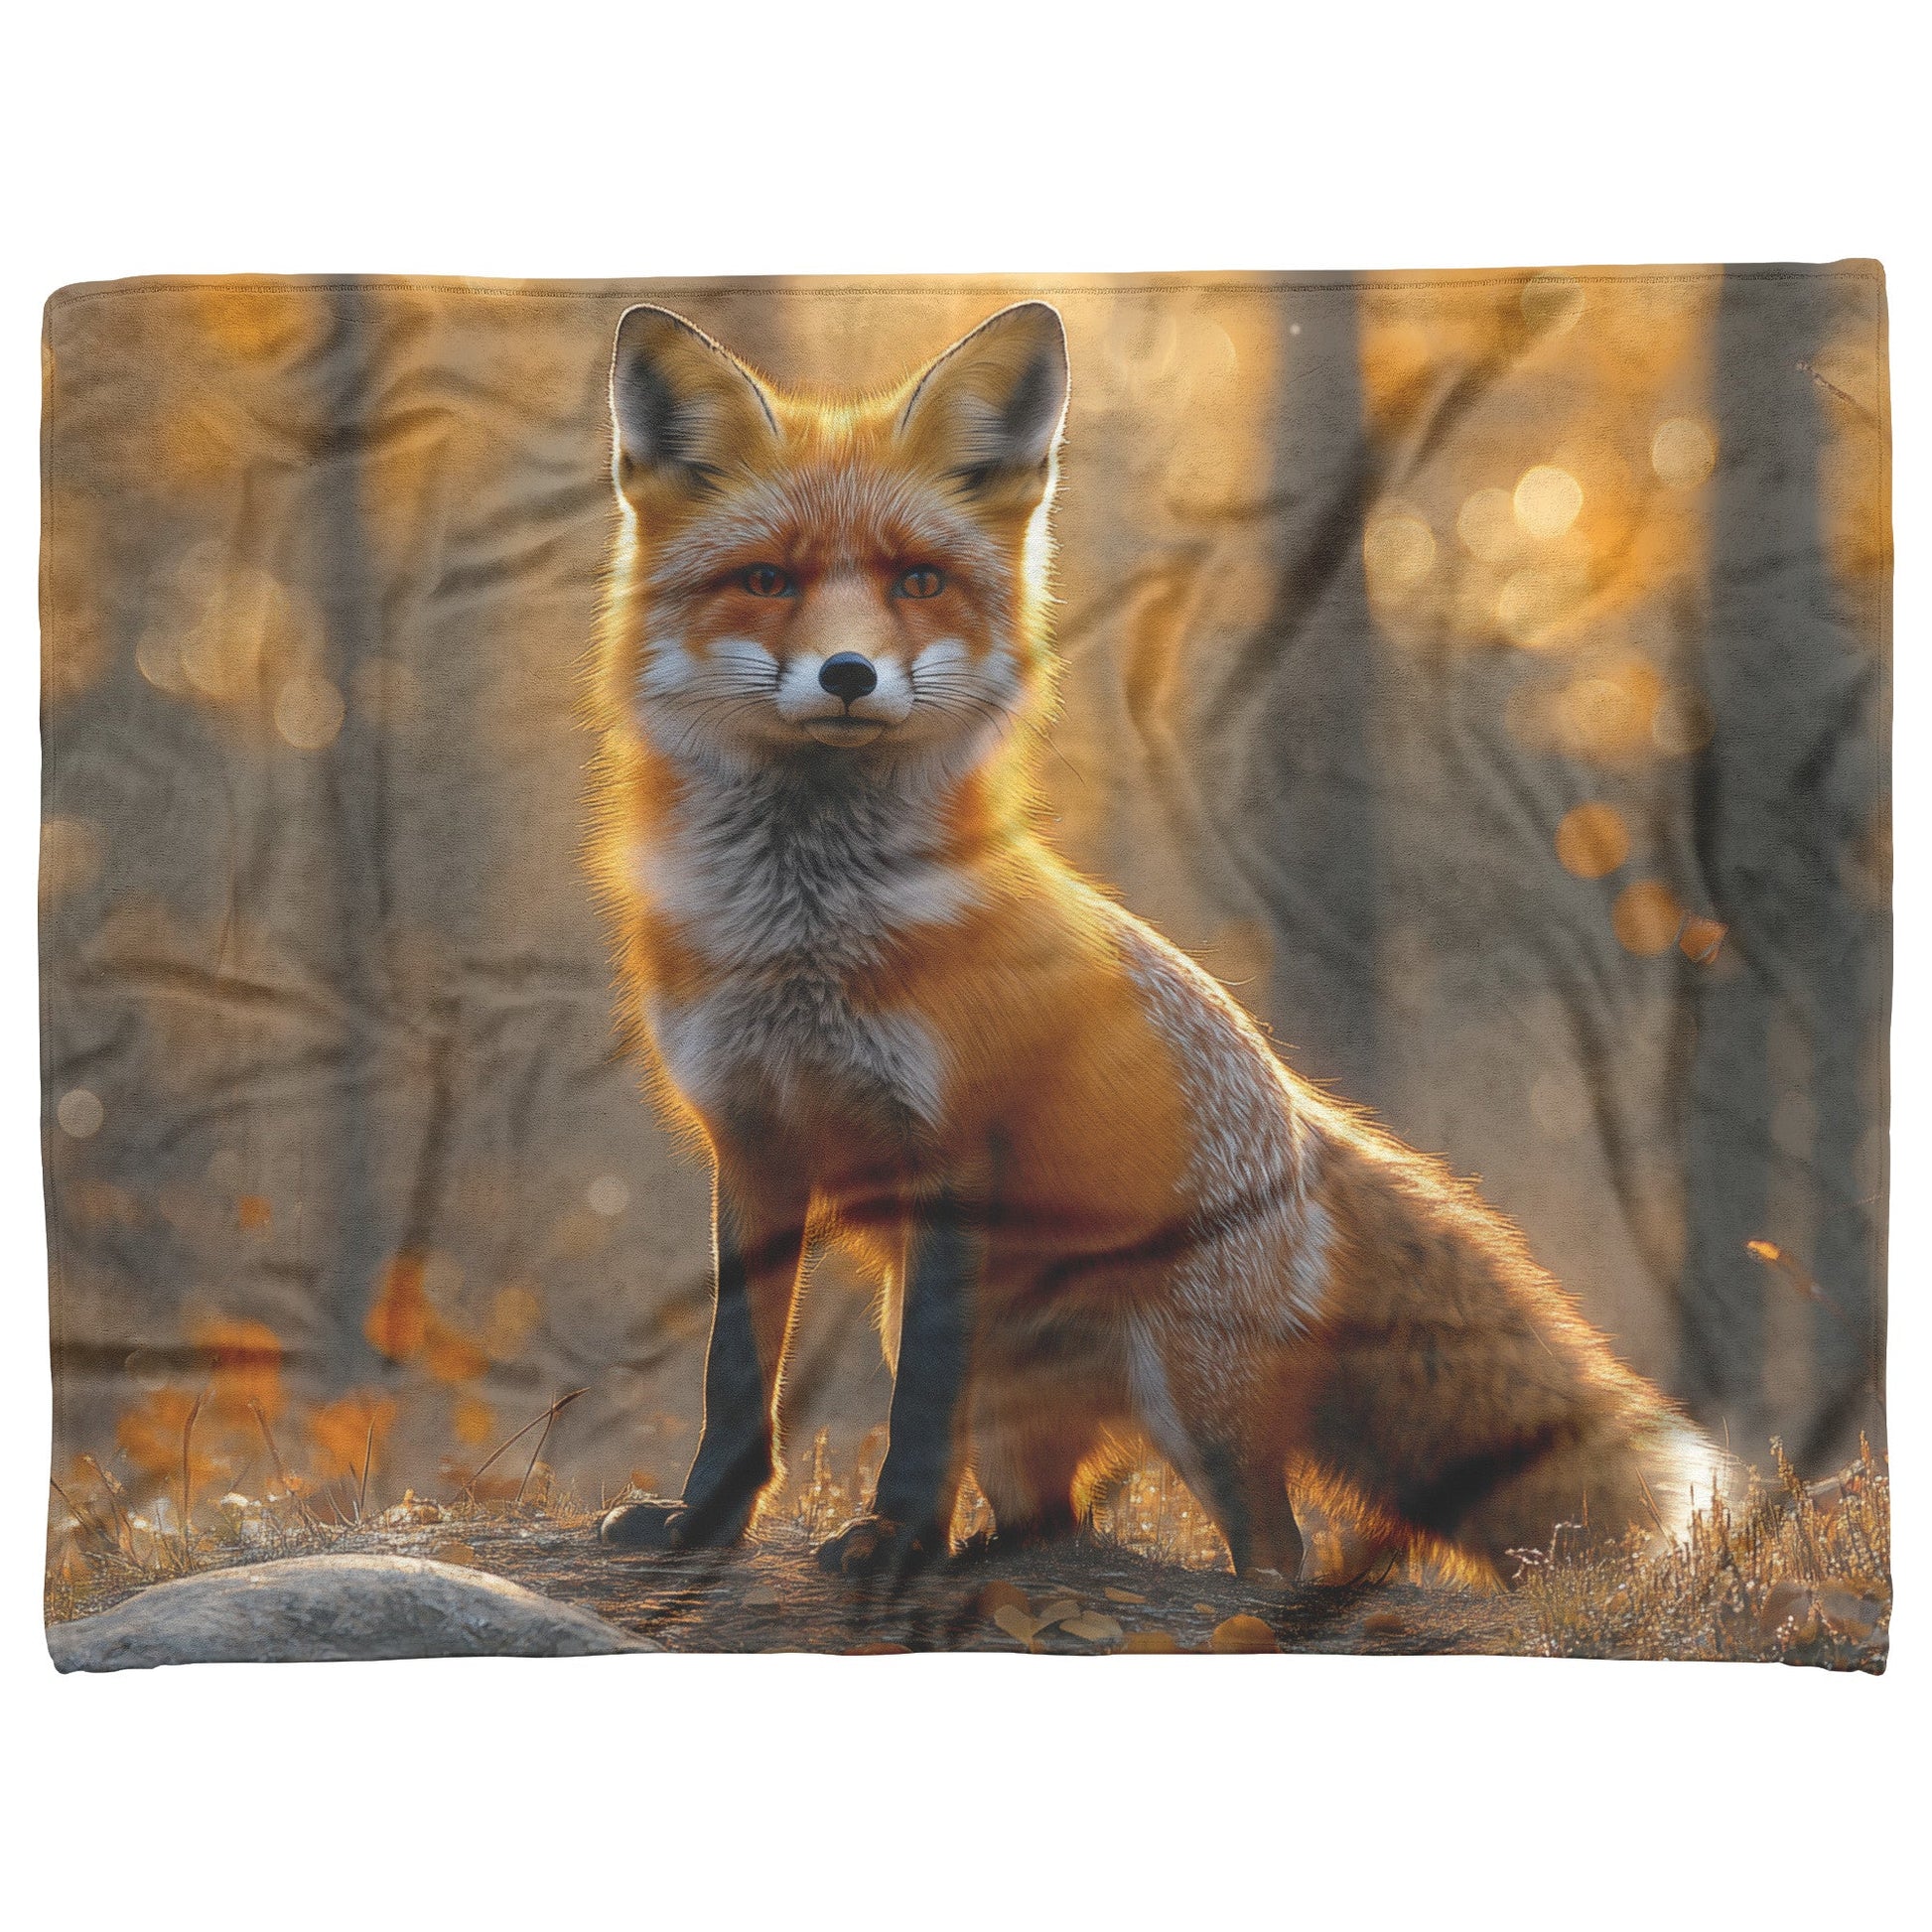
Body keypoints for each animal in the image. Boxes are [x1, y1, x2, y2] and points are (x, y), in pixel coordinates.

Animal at [585, 297, 1724, 1582]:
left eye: (918, 578)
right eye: (766, 579)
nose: (846, 673)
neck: (804, 931)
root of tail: (1300, 1117)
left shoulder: (953, 1150)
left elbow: (917, 1398)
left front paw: (893, 1537)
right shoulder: (753, 1140)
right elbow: (736, 1373)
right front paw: (703, 1523)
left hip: (1194, 1398)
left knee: (1266, 1543)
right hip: (1015, 1407)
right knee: (1057, 1517)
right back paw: (988, 1564)